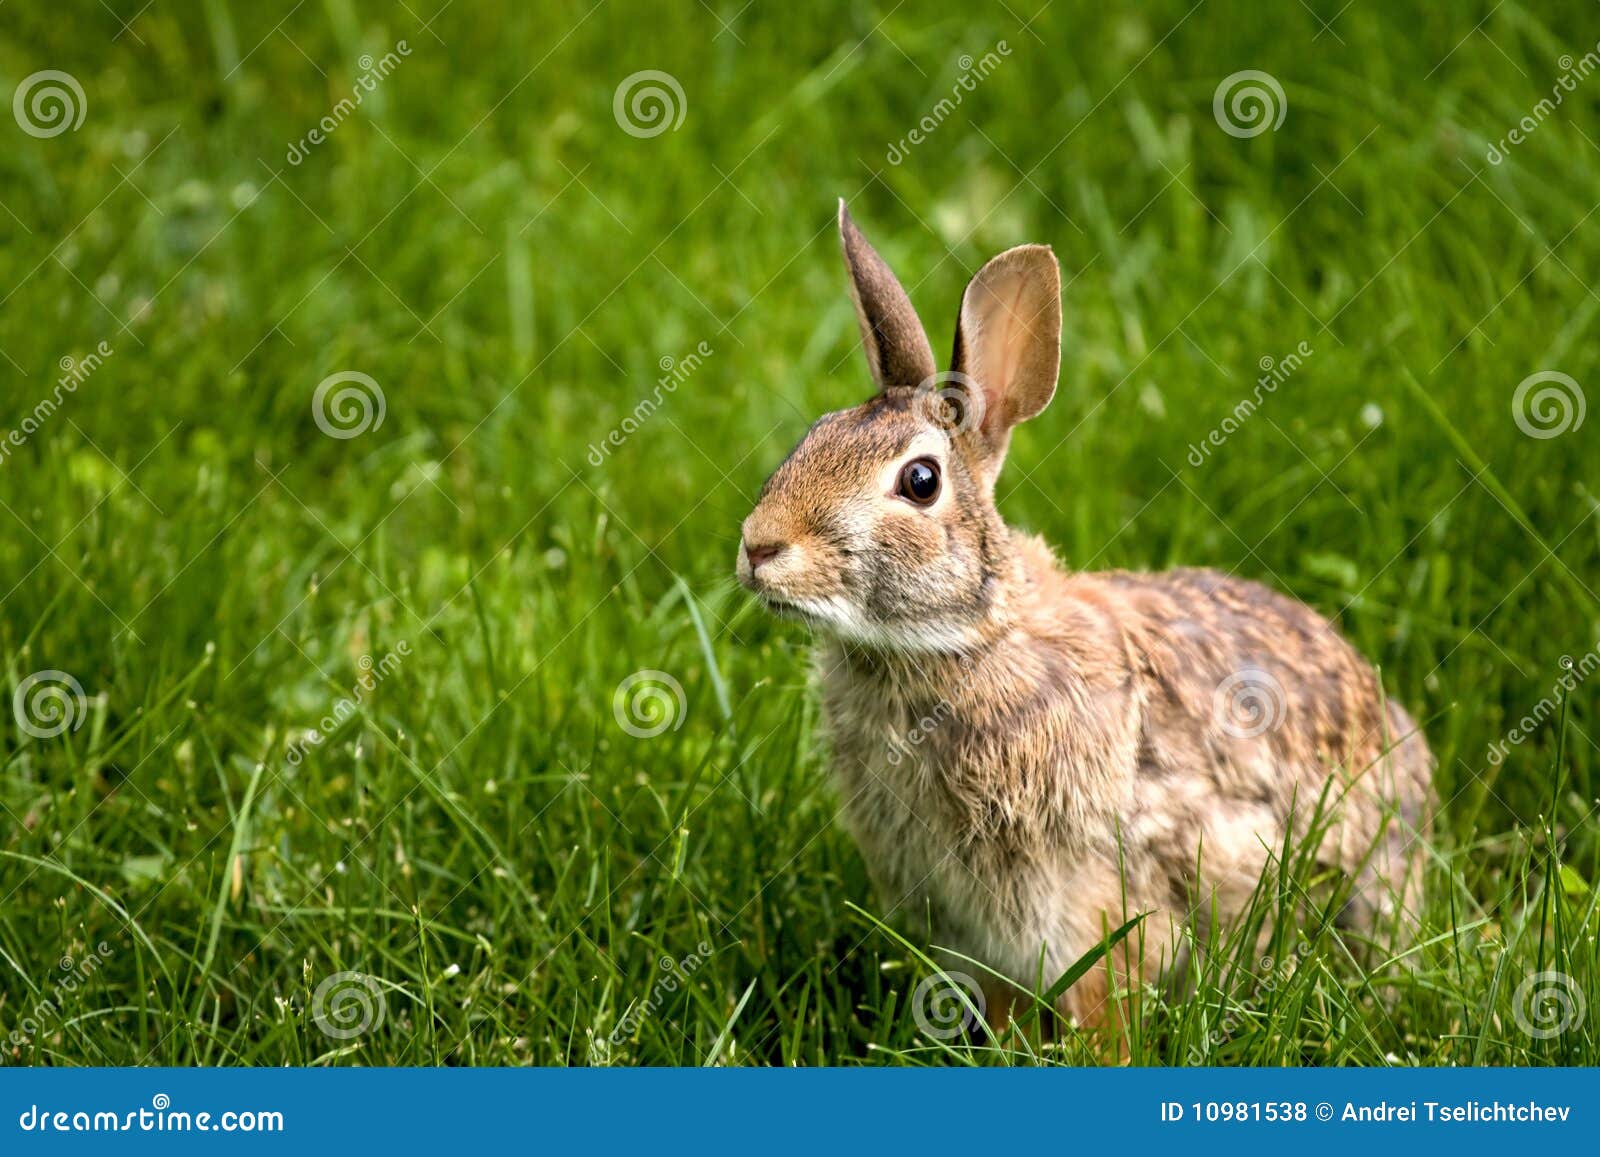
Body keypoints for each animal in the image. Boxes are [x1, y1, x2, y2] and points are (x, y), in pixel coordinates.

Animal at [735, 201, 1435, 1038]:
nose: (757, 545)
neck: (966, 640)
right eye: (815, 433)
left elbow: (1111, 1002)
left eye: (920, 480)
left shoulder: (1096, 902)